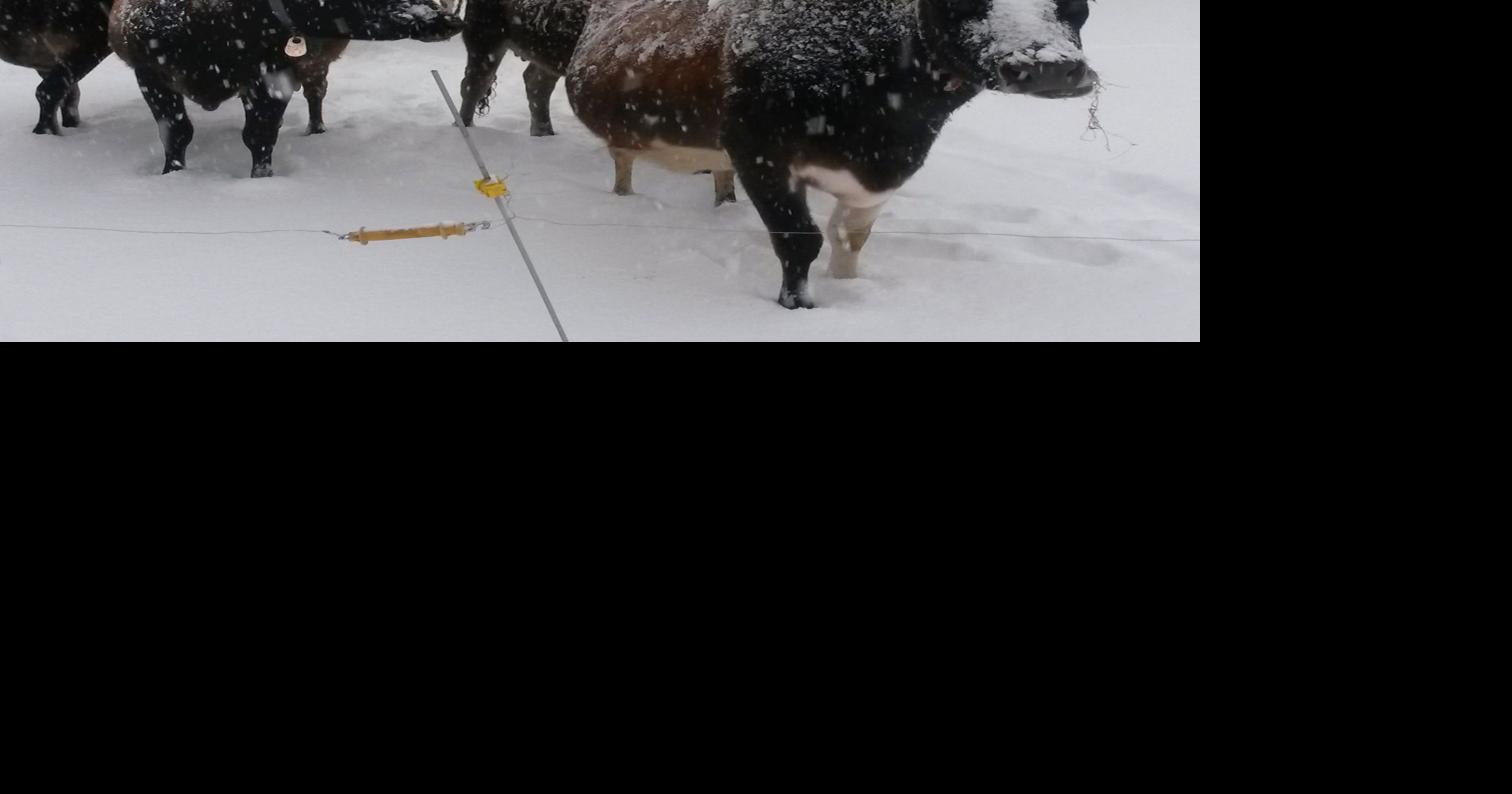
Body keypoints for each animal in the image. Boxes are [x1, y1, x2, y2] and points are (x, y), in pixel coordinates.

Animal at [109, 0, 464, 178]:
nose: (448, 18)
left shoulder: (275, 73)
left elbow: (260, 137)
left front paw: (261, 179)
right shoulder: (149, 72)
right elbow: (176, 134)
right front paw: (172, 175)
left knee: (316, 94)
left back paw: (317, 128)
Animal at [568, 0, 1098, 309]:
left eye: (1075, 4)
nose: (1050, 66)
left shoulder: (880, 175)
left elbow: (851, 238)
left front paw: (845, 286)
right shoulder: (760, 154)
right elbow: (800, 239)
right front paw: (798, 306)